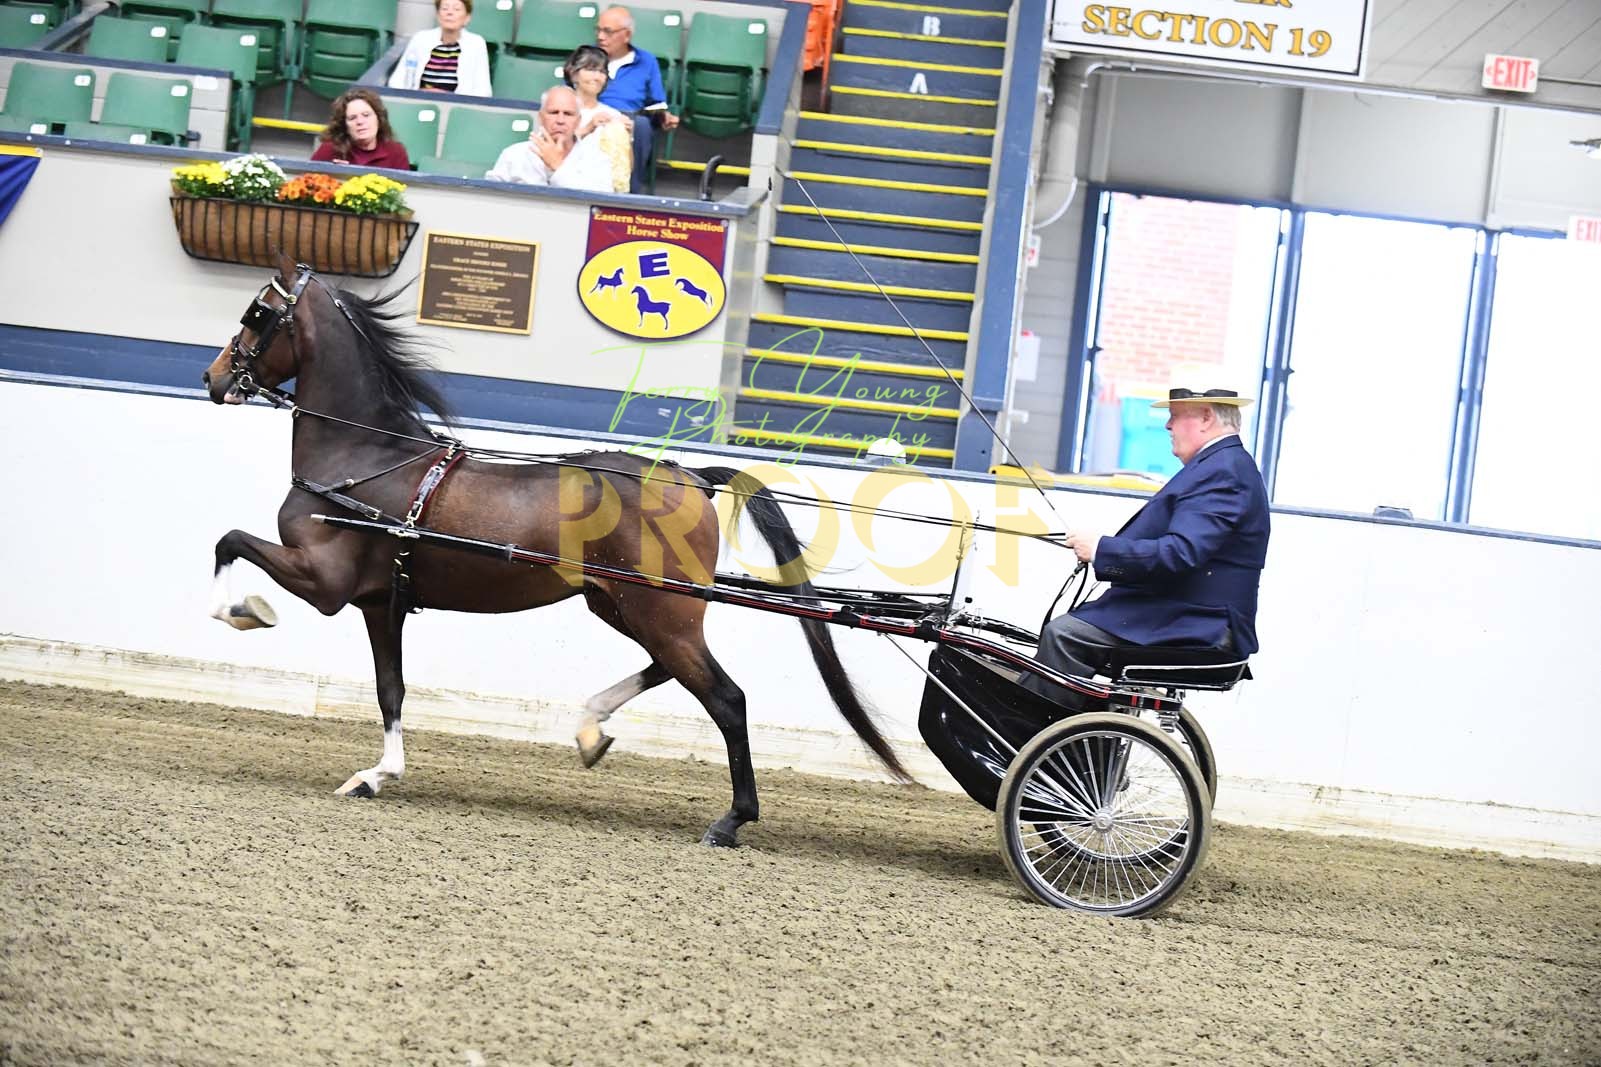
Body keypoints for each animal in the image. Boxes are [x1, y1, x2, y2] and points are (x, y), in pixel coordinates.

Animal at [200, 254, 910, 848]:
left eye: (256, 314)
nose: (213, 377)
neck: (365, 457)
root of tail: (690, 476)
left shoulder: (324, 582)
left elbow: (228, 541)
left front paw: (243, 612)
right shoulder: (380, 603)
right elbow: (390, 689)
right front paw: (378, 775)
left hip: (660, 610)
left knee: (725, 698)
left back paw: (732, 819)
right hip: (630, 606)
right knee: (671, 669)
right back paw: (592, 728)